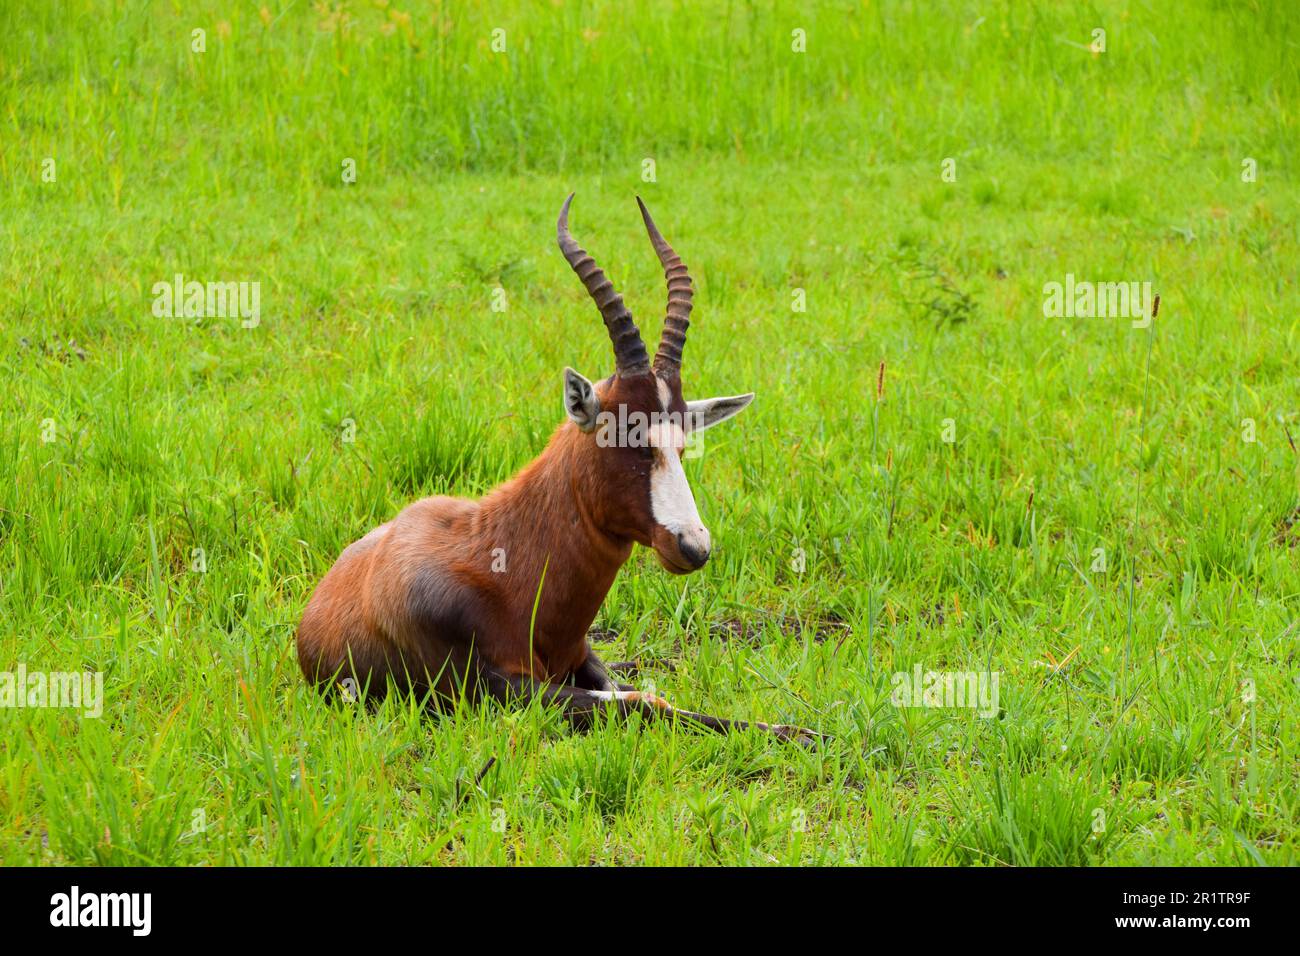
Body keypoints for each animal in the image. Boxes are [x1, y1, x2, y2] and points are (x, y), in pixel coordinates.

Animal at [296, 195, 821, 745]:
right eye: (625, 435)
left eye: (682, 444)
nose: (693, 545)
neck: (499, 567)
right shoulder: (498, 690)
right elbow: (646, 703)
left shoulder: (585, 660)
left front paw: (807, 731)